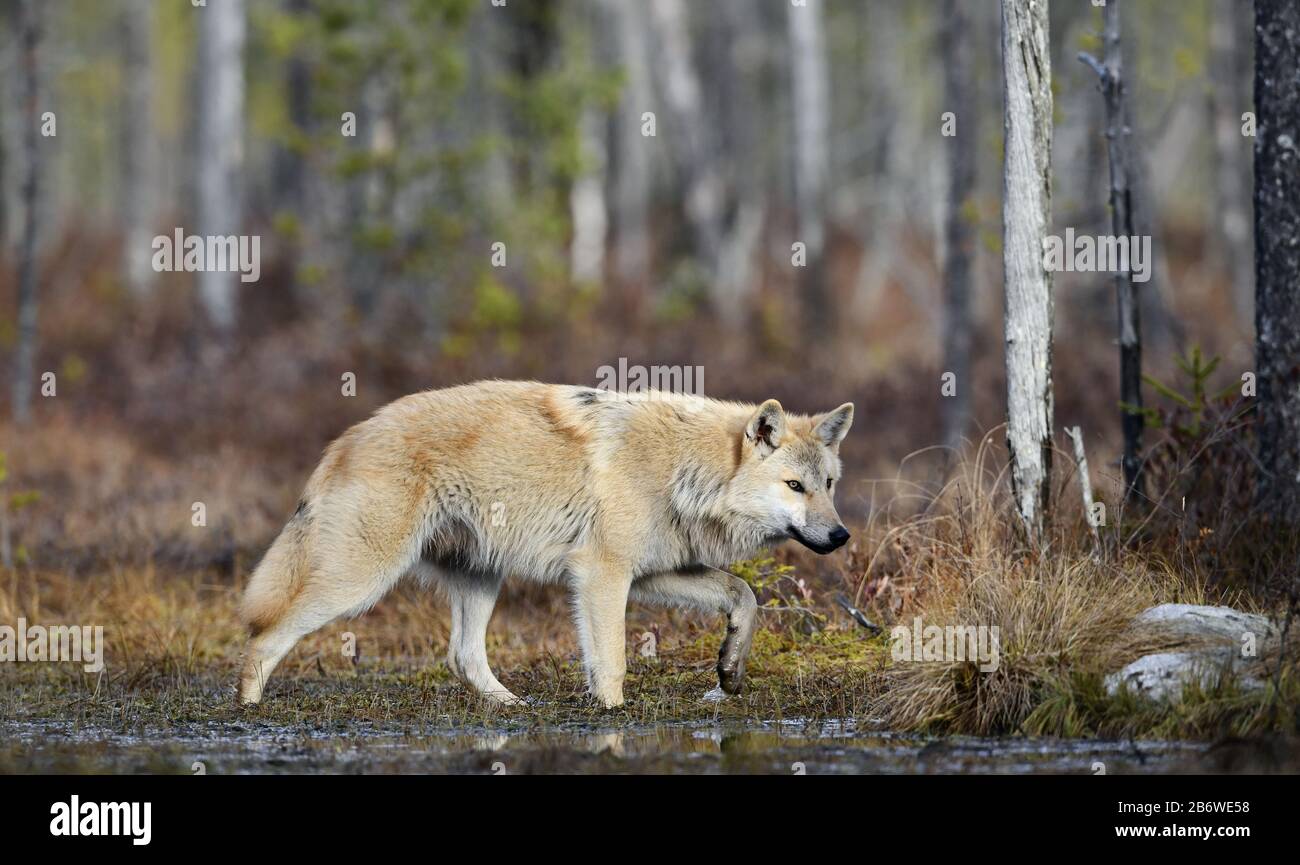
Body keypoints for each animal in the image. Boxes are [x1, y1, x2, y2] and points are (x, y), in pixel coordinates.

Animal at [237, 380, 854, 708]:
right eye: (794, 486)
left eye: (828, 485)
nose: (841, 535)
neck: (685, 469)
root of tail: (347, 437)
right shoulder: (602, 575)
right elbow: (612, 661)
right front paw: (612, 715)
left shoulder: (652, 574)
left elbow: (744, 595)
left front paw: (729, 671)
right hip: (359, 582)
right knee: (263, 637)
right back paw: (246, 710)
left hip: (482, 578)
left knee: (463, 657)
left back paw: (513, 708)